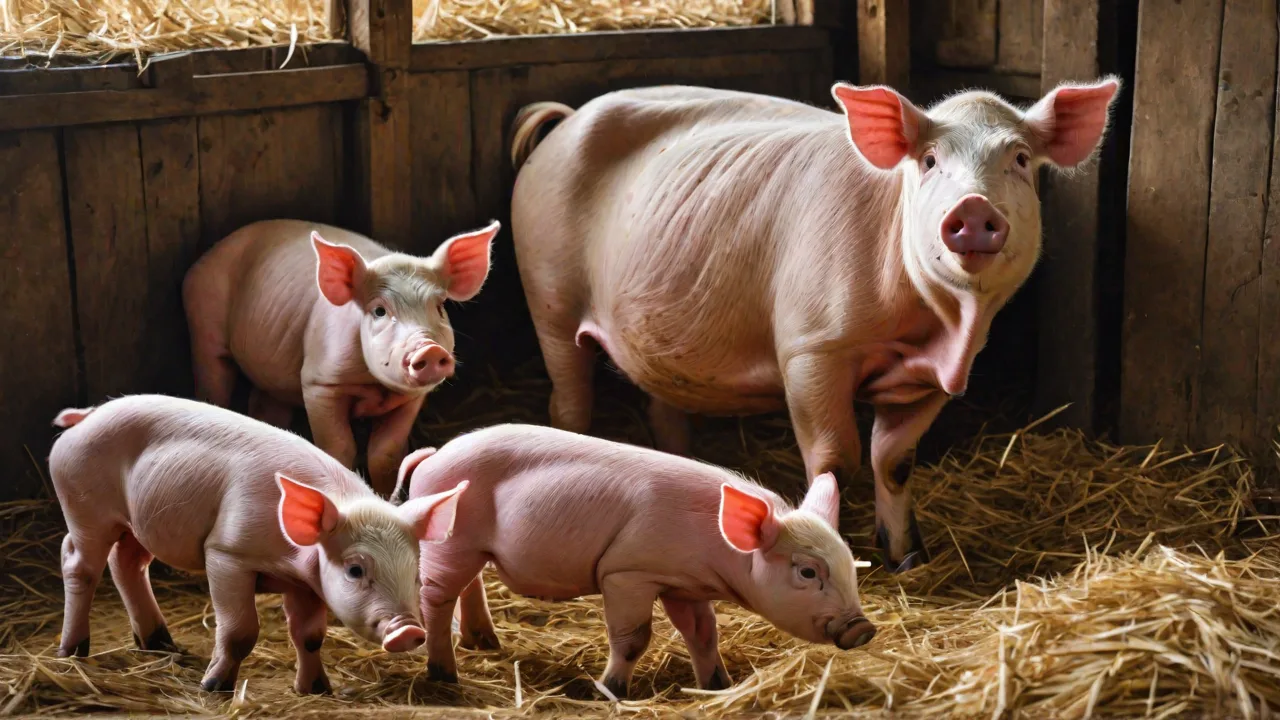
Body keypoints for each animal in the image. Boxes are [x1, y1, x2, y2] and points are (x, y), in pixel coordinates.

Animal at [48, 394, 467, 695]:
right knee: (77, 562)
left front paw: (317, 691)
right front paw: (213, 688)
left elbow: (310, 637)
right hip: (85, 508)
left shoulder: (307, 582)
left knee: (127, 563)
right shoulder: (226, 554)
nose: (409, 630)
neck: (289, 559)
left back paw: (162, 646)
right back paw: (71, 651)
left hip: (139, 524)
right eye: (355, 569)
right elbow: (240, 631)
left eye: (415, 574)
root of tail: (85, 417)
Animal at [183, 219, 501, 497]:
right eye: (379, 311)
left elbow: (385, 454)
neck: (376, 387)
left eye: (439, 306)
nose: (430, 349)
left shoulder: (412, 399)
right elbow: (339, 448)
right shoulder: (319, 383)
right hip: (204, 324)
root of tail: (203, 259)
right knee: (213, 382)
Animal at [392, 424, 874, 698]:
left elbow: (704, 634)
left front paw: (718, 687)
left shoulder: (683, 585)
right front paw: (610, 692)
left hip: (472, 548)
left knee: (468, 585)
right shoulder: (628, 574)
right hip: (453, 542)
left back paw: (485, 644)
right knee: (436, 597)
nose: (863, 628)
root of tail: (432, 457)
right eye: (807, 571)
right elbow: (633, 639)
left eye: (849, 564)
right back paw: (445, 676)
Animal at [508, 79, 1121, 573]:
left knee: (663, 411)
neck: (936, 331)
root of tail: (567, 118)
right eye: (928, 160)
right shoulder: (811, 350)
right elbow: (835, 461)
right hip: (547, 299)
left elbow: (894, 462)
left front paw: (908, 559)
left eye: (1019, 158)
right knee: (568, 403)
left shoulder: (928, 379)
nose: (972, 208)